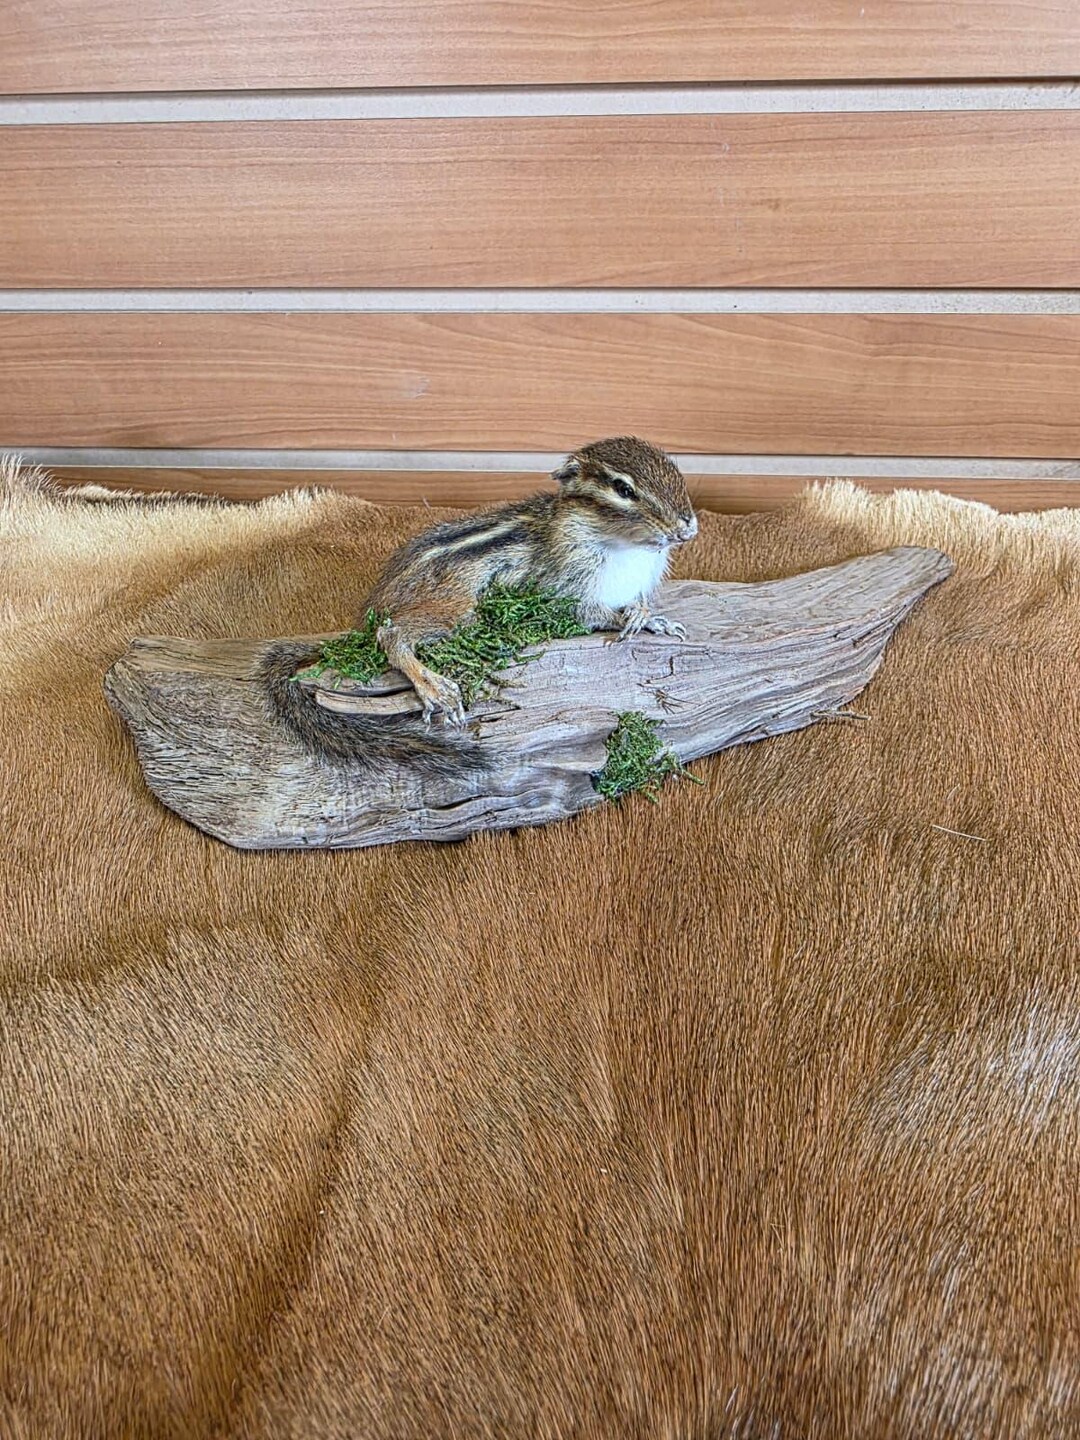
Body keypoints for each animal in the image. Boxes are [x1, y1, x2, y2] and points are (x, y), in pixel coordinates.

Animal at [260, 436, 698, 772]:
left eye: (673, 467)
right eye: (623, 489)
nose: (687, 526)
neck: (627, 548)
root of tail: (377, 603)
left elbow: (641, 605)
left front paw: (653, 618)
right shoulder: (563, 585)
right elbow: (588, 612)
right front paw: (630, 618)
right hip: (455, 610)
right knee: (391, 633)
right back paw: (432, 684)